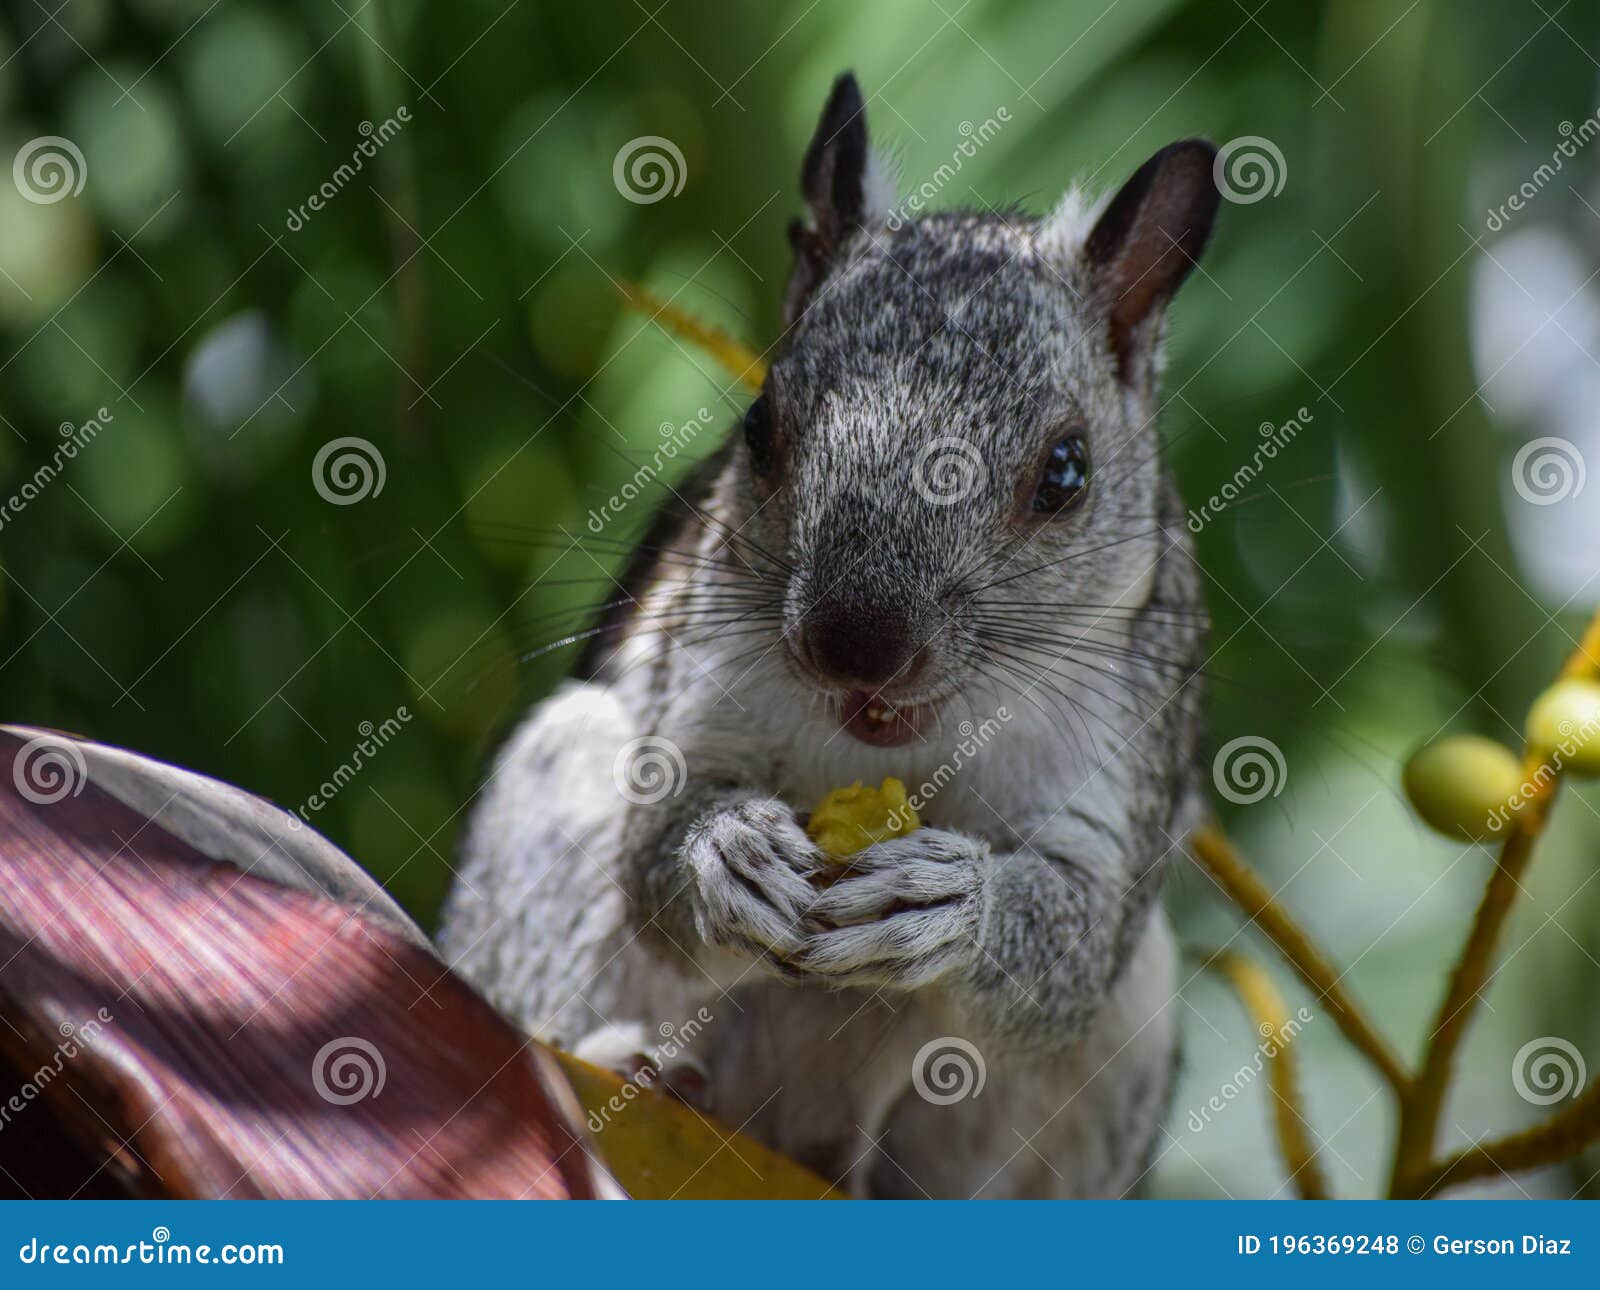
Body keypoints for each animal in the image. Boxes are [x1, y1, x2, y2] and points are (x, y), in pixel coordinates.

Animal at [439, 72, 1218, 1199]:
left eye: (1065, 472)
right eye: (759, 427)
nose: (859, 642)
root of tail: (788, 1140)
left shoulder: (1120, 778)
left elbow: (1069, 947)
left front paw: (951, 902)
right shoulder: (695, 689)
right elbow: (651, 857)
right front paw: (724, 856)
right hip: (555, 796)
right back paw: (630, 1063)